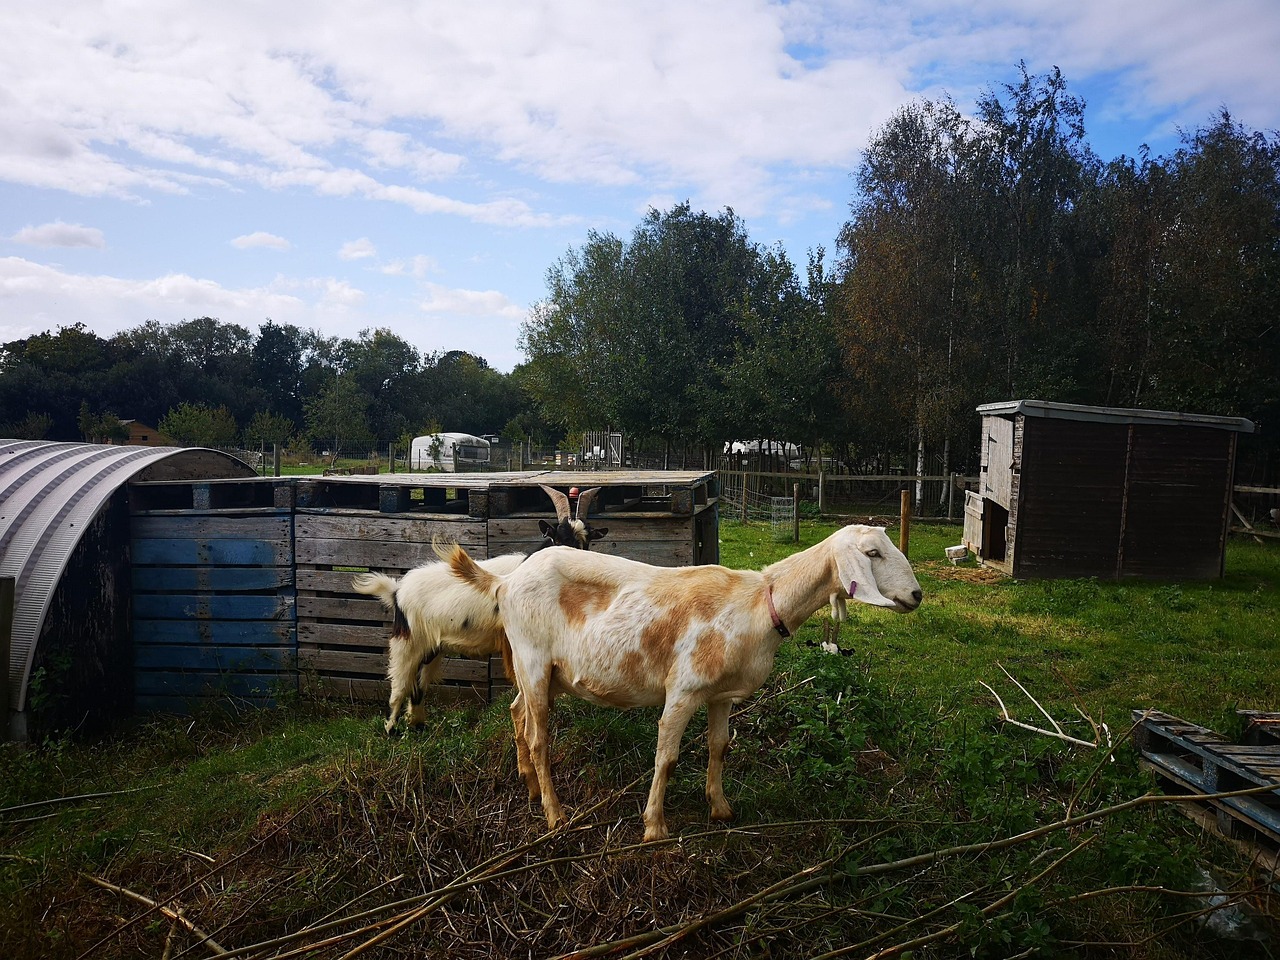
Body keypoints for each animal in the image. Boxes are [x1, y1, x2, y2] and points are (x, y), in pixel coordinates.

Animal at [353, 485, 605, 734]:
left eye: (587, 541)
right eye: (557, 537)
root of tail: (397, 591)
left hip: (432, 646)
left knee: (419, 684)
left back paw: (418, 726)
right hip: (408, 641)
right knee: (400, 683)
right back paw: (391, 729)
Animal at [446, 524, 922, 841]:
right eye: (873, 553)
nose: (917, 596)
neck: (758, 603)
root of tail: (505, 581)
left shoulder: (721, 695)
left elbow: (720, 748)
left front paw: (721, 808)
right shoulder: (684, 689)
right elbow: (668, 759)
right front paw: (655, 827)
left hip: (540, 674)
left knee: (517, 714)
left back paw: (528, 785)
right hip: (532, 659)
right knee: (538, 737)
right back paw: (554, 814)